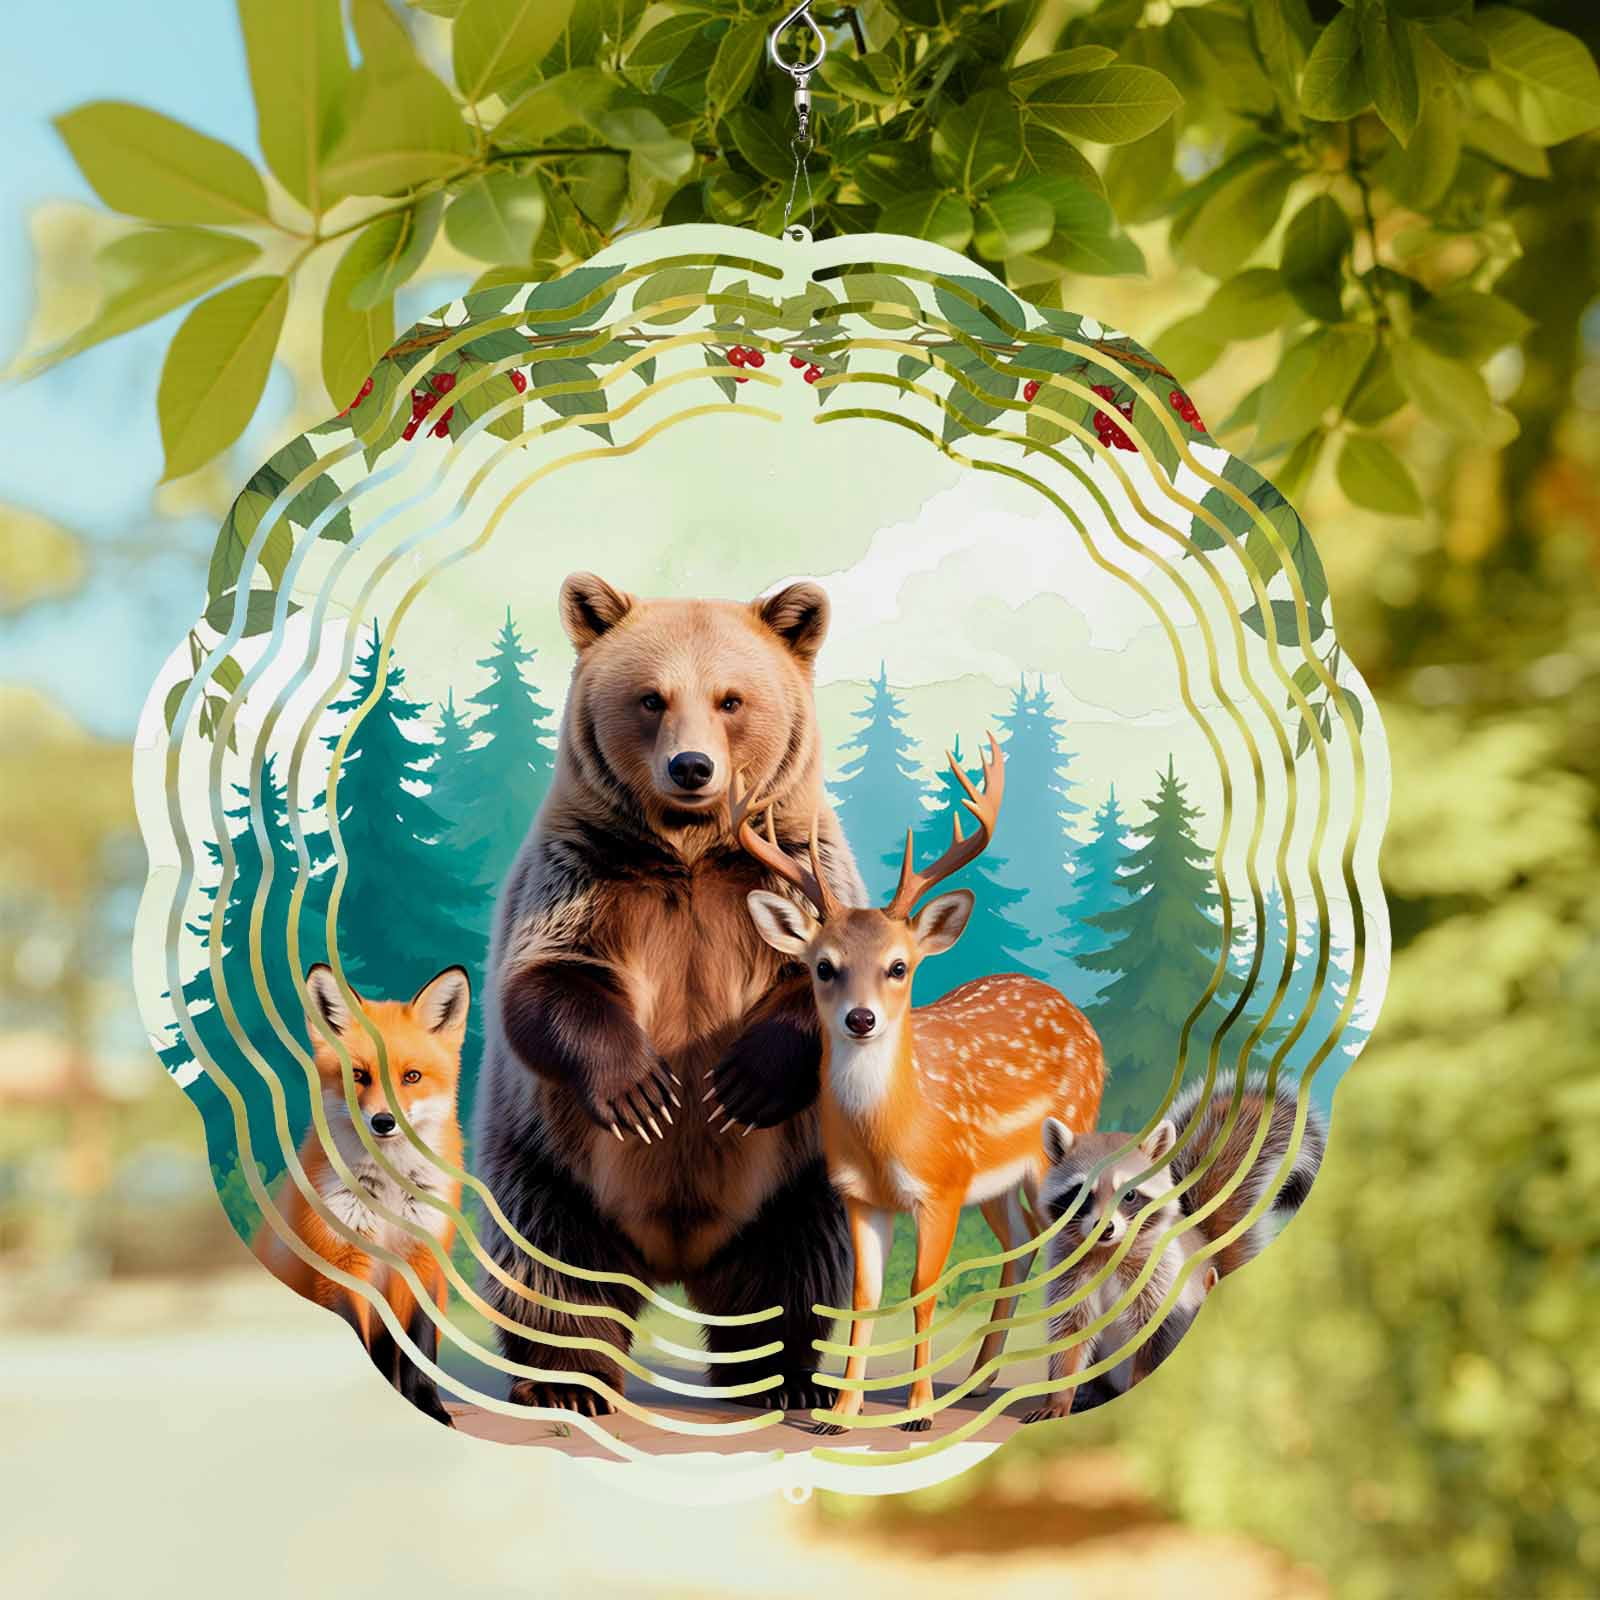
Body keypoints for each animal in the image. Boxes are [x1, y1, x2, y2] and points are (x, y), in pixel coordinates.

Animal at [253, 963, 470, 1427]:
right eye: (359, 1076)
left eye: (411, 1077)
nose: (384, 1122)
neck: (387, 1198)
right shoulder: (339, 1263)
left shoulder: (422, 1263)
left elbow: (418, 1352)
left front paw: (428, 1409)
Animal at [472, 571, 867, 1417]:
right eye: (651, 697)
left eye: (731, 698)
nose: (691, 767)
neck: (690, 852)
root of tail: (675, 1258)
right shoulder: (582, 876)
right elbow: (546, 984)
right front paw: (644, 1093)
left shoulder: (795, 870)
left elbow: (820, 995)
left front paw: (737, 1084)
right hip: (547, 1165)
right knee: (551, 1271)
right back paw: (565, 1386)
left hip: (800, 1179)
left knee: (798, 1273)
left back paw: (788, 1382)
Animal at [732, 734, 1106, 1433]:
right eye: (823, 966)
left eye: (898, 966)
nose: (861, 1018)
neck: (890, 1137)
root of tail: (1074, 1011)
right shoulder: (859, 1196)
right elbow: (864, 1294)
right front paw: (840, 1411)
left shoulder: (941, 1187)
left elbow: (922, 1290)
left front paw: (918, 1410)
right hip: (999, 1182)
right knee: (1021, 1245)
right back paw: (983, 1379)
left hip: (1064, 1141)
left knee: (1071, 1245)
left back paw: (1055, 1398)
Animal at [1024, 1072, 1326, 1423]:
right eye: (1080, 1192)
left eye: (1129, 1195)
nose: (1105, 1228)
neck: (1108, 1252)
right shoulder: (1070, 1276)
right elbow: (1069, 1334)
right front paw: (1059, 1396)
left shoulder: (1160, 1278)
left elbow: (1154, 1335)